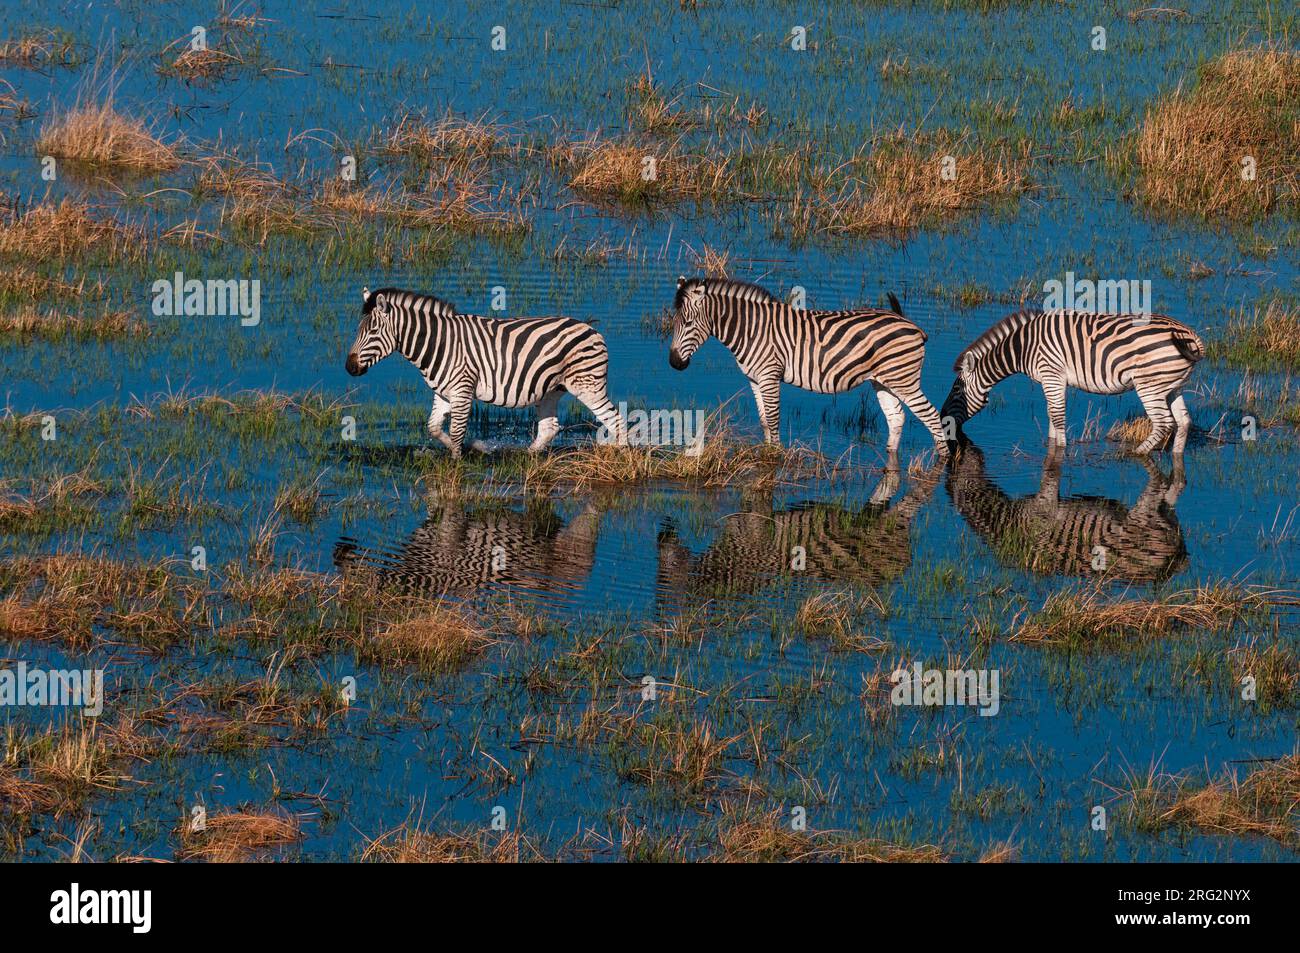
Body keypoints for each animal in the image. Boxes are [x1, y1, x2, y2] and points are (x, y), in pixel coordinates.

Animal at [345, 287, 625, 456]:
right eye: (358, 331)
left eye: (372, 332)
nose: (349, 367)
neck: (439, 343)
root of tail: (590, 328)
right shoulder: (444, 393)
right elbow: (434, 428)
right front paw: (471, 447)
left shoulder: (462, 390)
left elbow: (456, 431)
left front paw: (456, 464)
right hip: (551, 390)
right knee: (549, 428)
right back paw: (526, 458)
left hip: (588, 385)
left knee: (616, 420)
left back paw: (620, 458)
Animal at [667, 277, 949, 457]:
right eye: (673, 321)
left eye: (689, 323)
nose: (674, 363)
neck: (750, 330)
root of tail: (911, 324)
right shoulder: (755, 379)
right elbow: (764, 421)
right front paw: (767, 451)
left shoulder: (769, 375)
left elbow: (773, 419)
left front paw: (775, 456)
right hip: (883, 381)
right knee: (897, 418)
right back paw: (890, 456)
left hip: (905, 380)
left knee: (932, 416)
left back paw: (944, 460)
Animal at [940, 309, 1204, 455]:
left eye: (956, 390)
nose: (943, 420)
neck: (1024, 347)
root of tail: (1189, 334)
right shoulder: (1053, 379)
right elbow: (1051, 413)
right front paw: (1051, 443)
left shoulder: (1051, 373)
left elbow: (1057, 416)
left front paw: (1060, 449)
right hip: (1172, 385)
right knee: (1183, 421)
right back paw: (1176, 459)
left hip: (1149, 385)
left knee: (1164, 424)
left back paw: (1135, 455)